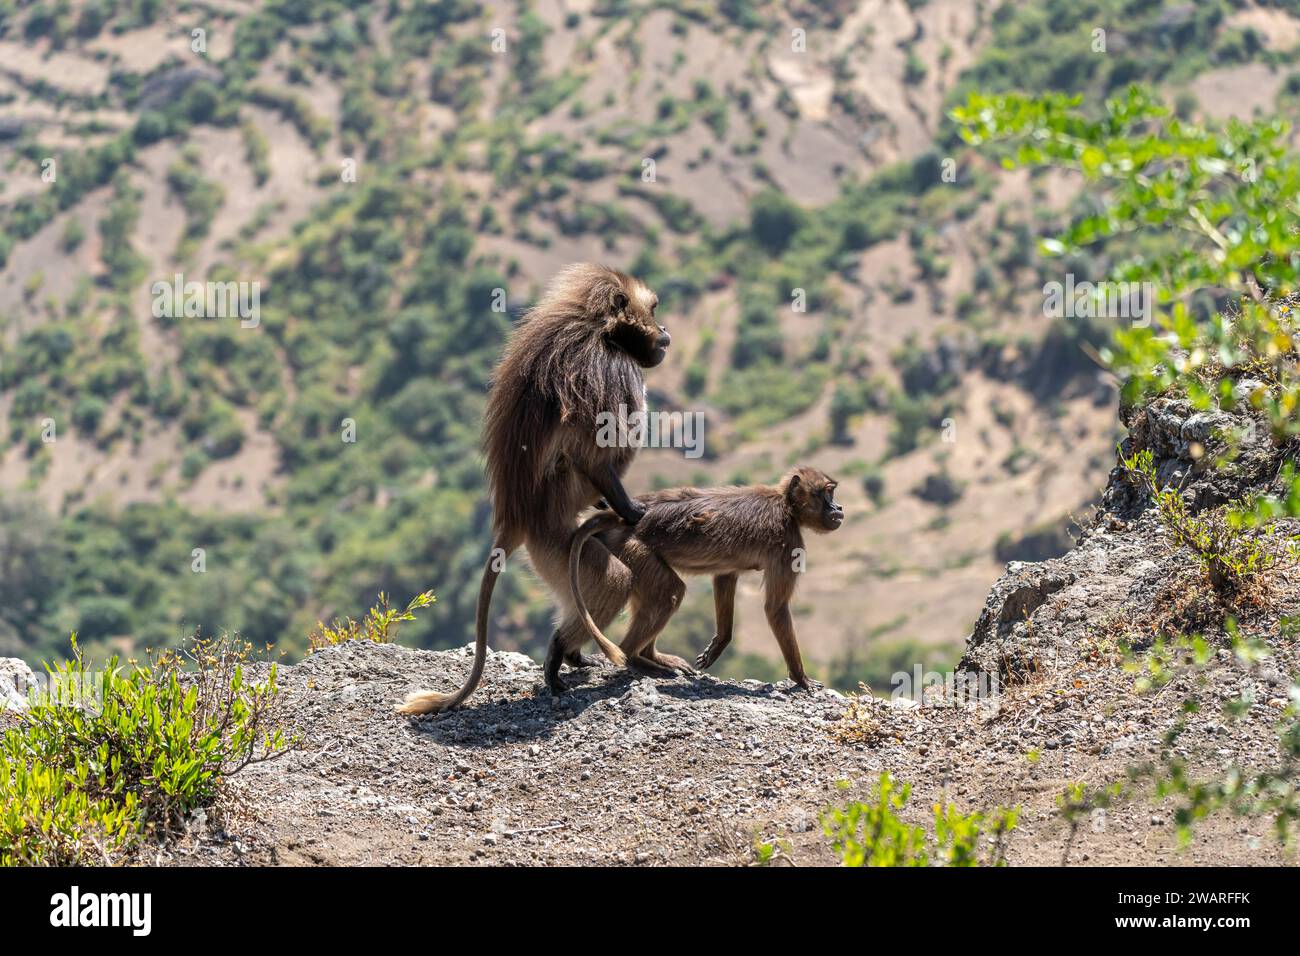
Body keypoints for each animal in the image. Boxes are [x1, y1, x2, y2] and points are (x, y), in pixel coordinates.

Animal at [397, 264, 671, 715]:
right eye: (651, 309)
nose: (664, 331)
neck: (599, 328)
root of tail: (514, 517)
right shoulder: (611, 369)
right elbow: (596, 452)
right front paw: (633, 511)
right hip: (552, 541)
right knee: (613, 576)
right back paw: (559, 653)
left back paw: (573, 653)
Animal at [567, 467, 843, 691]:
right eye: (827, 493)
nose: (838, 509)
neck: (787, 505)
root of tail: (623, 516)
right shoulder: (789, 542)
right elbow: (776, 608)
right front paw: (801, 678)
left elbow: (725, 578)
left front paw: (717, 645)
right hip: (635, 549)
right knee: (669, 594)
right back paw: (635, 658)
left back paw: (650, 655)